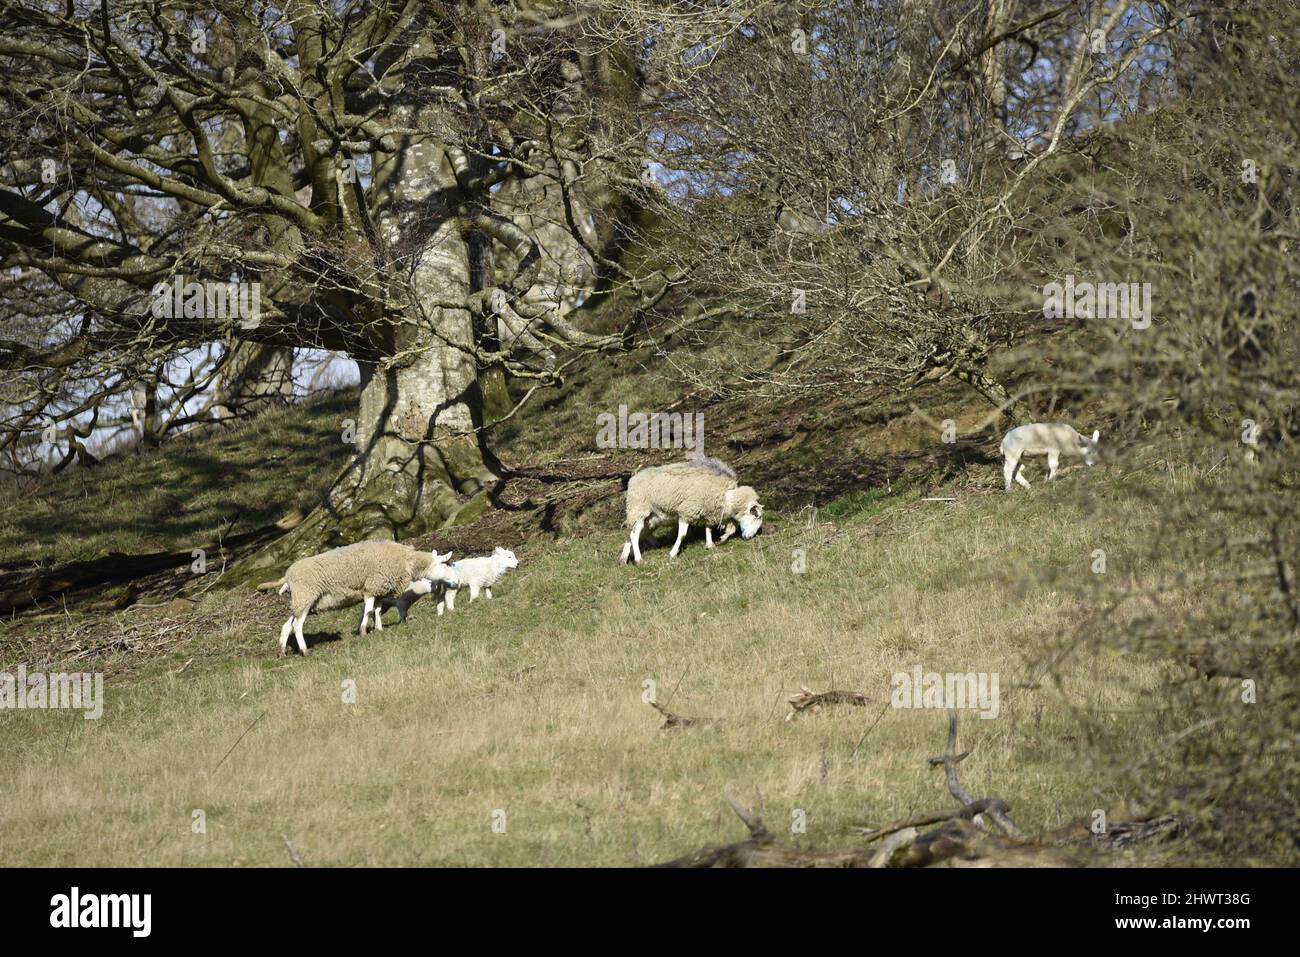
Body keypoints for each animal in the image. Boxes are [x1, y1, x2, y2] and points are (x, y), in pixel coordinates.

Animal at [256, 541, 454, 656]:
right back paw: (304, 651)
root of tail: (287, 576)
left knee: (287, 625)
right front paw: (363, 631)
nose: (454, 581)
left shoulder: (379, 589)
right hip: (306, 595)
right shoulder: (371, 587)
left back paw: (282, 651)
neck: (406, 560)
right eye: (445, 565)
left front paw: (379, 629)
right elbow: (368, 610)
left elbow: (376, 610)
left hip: (302, 601)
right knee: (297, 626)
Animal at [620, 453, 763, 564]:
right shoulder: (687, 511)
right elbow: (682, 534)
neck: (726, 497)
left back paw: (623, 559)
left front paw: (710, 544)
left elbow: (708, 528)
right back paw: (639, 559)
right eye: (756, 516)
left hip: (648, 516)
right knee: (634, 535)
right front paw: (673, 553)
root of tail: (633, 478)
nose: (750, 537)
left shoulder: (707, 510)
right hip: (639, 509)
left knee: (631, 533)